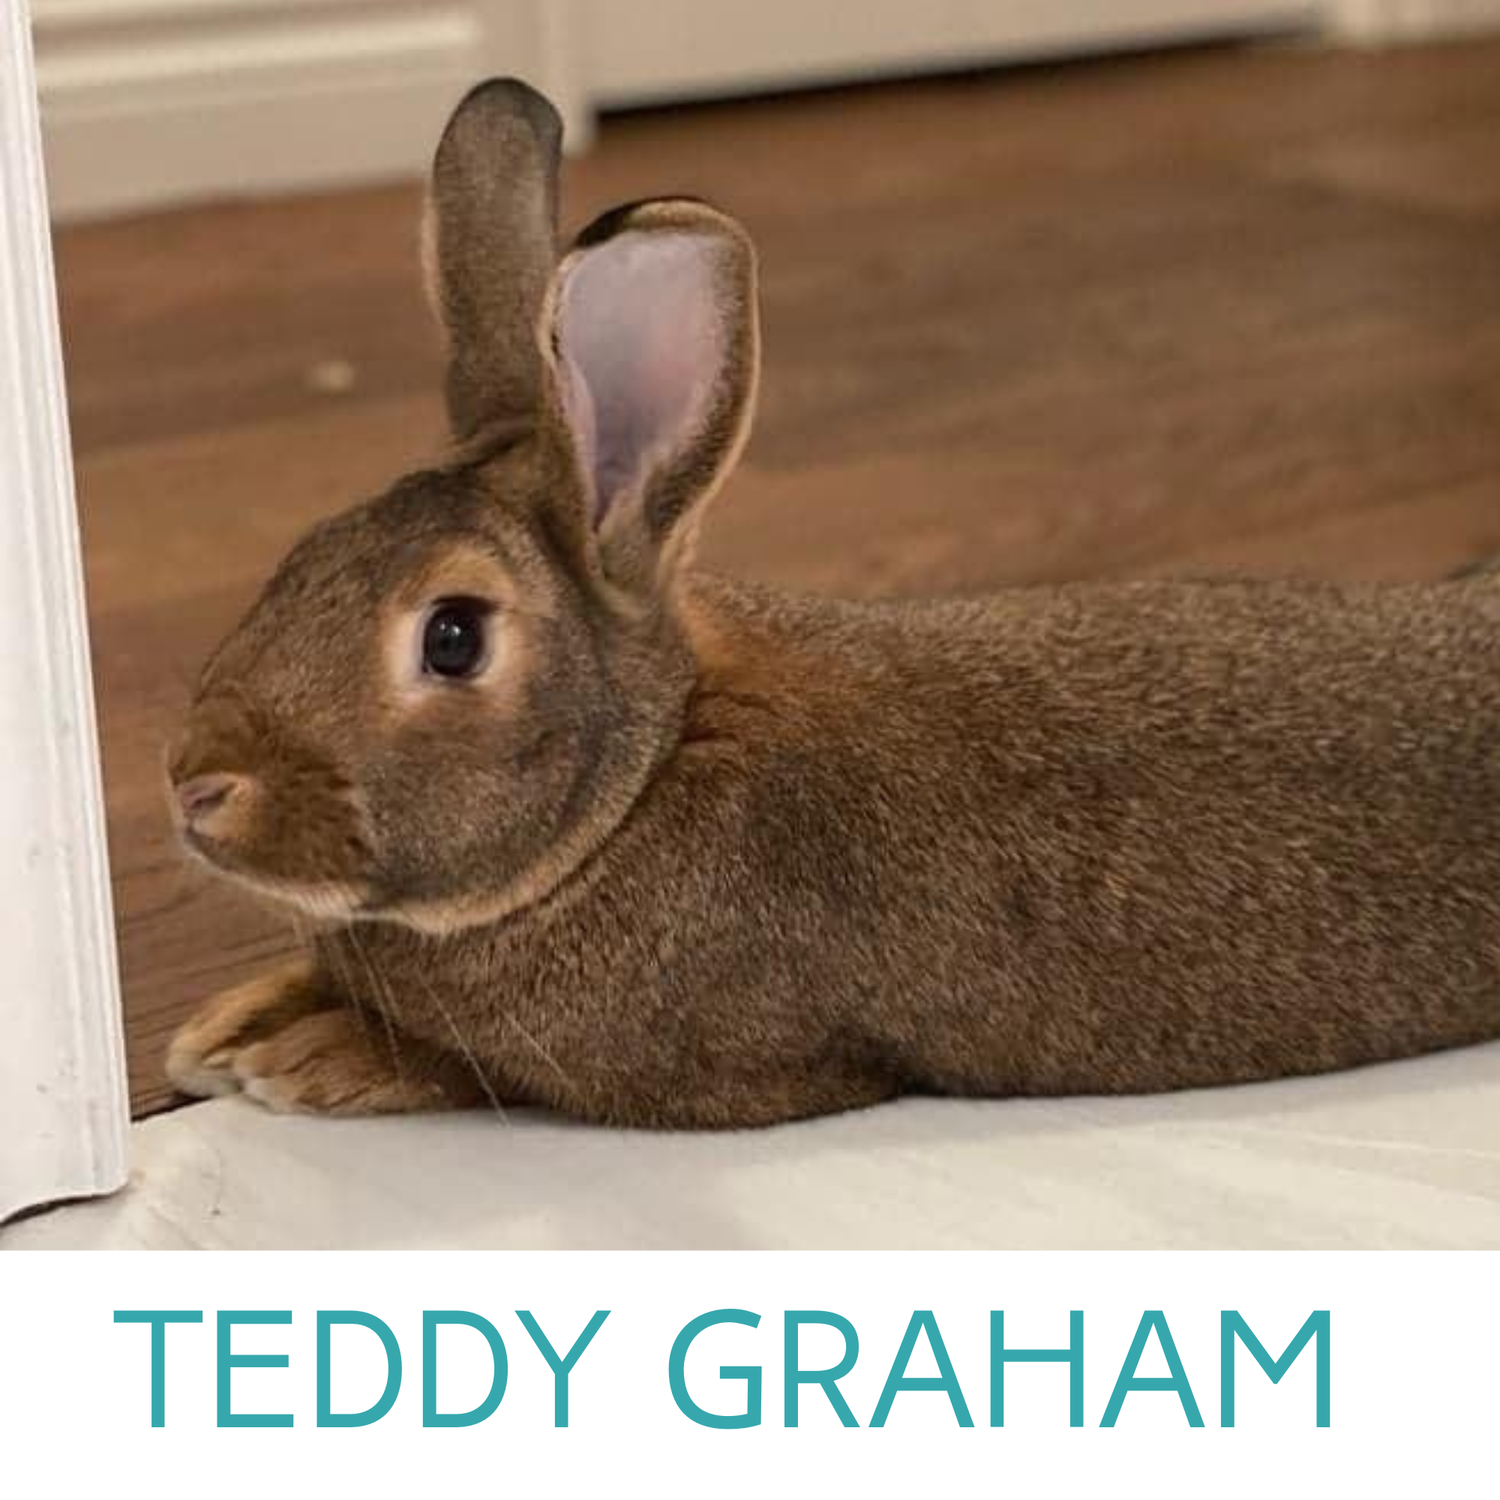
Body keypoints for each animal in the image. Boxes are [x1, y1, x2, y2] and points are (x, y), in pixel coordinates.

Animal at [164, 77, 1500, 1127]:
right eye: (304, 552)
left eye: (451, 637)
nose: (195, 787)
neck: (636, 787)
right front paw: (223, 1031)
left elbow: (460, 1068)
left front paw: (296, 1060)